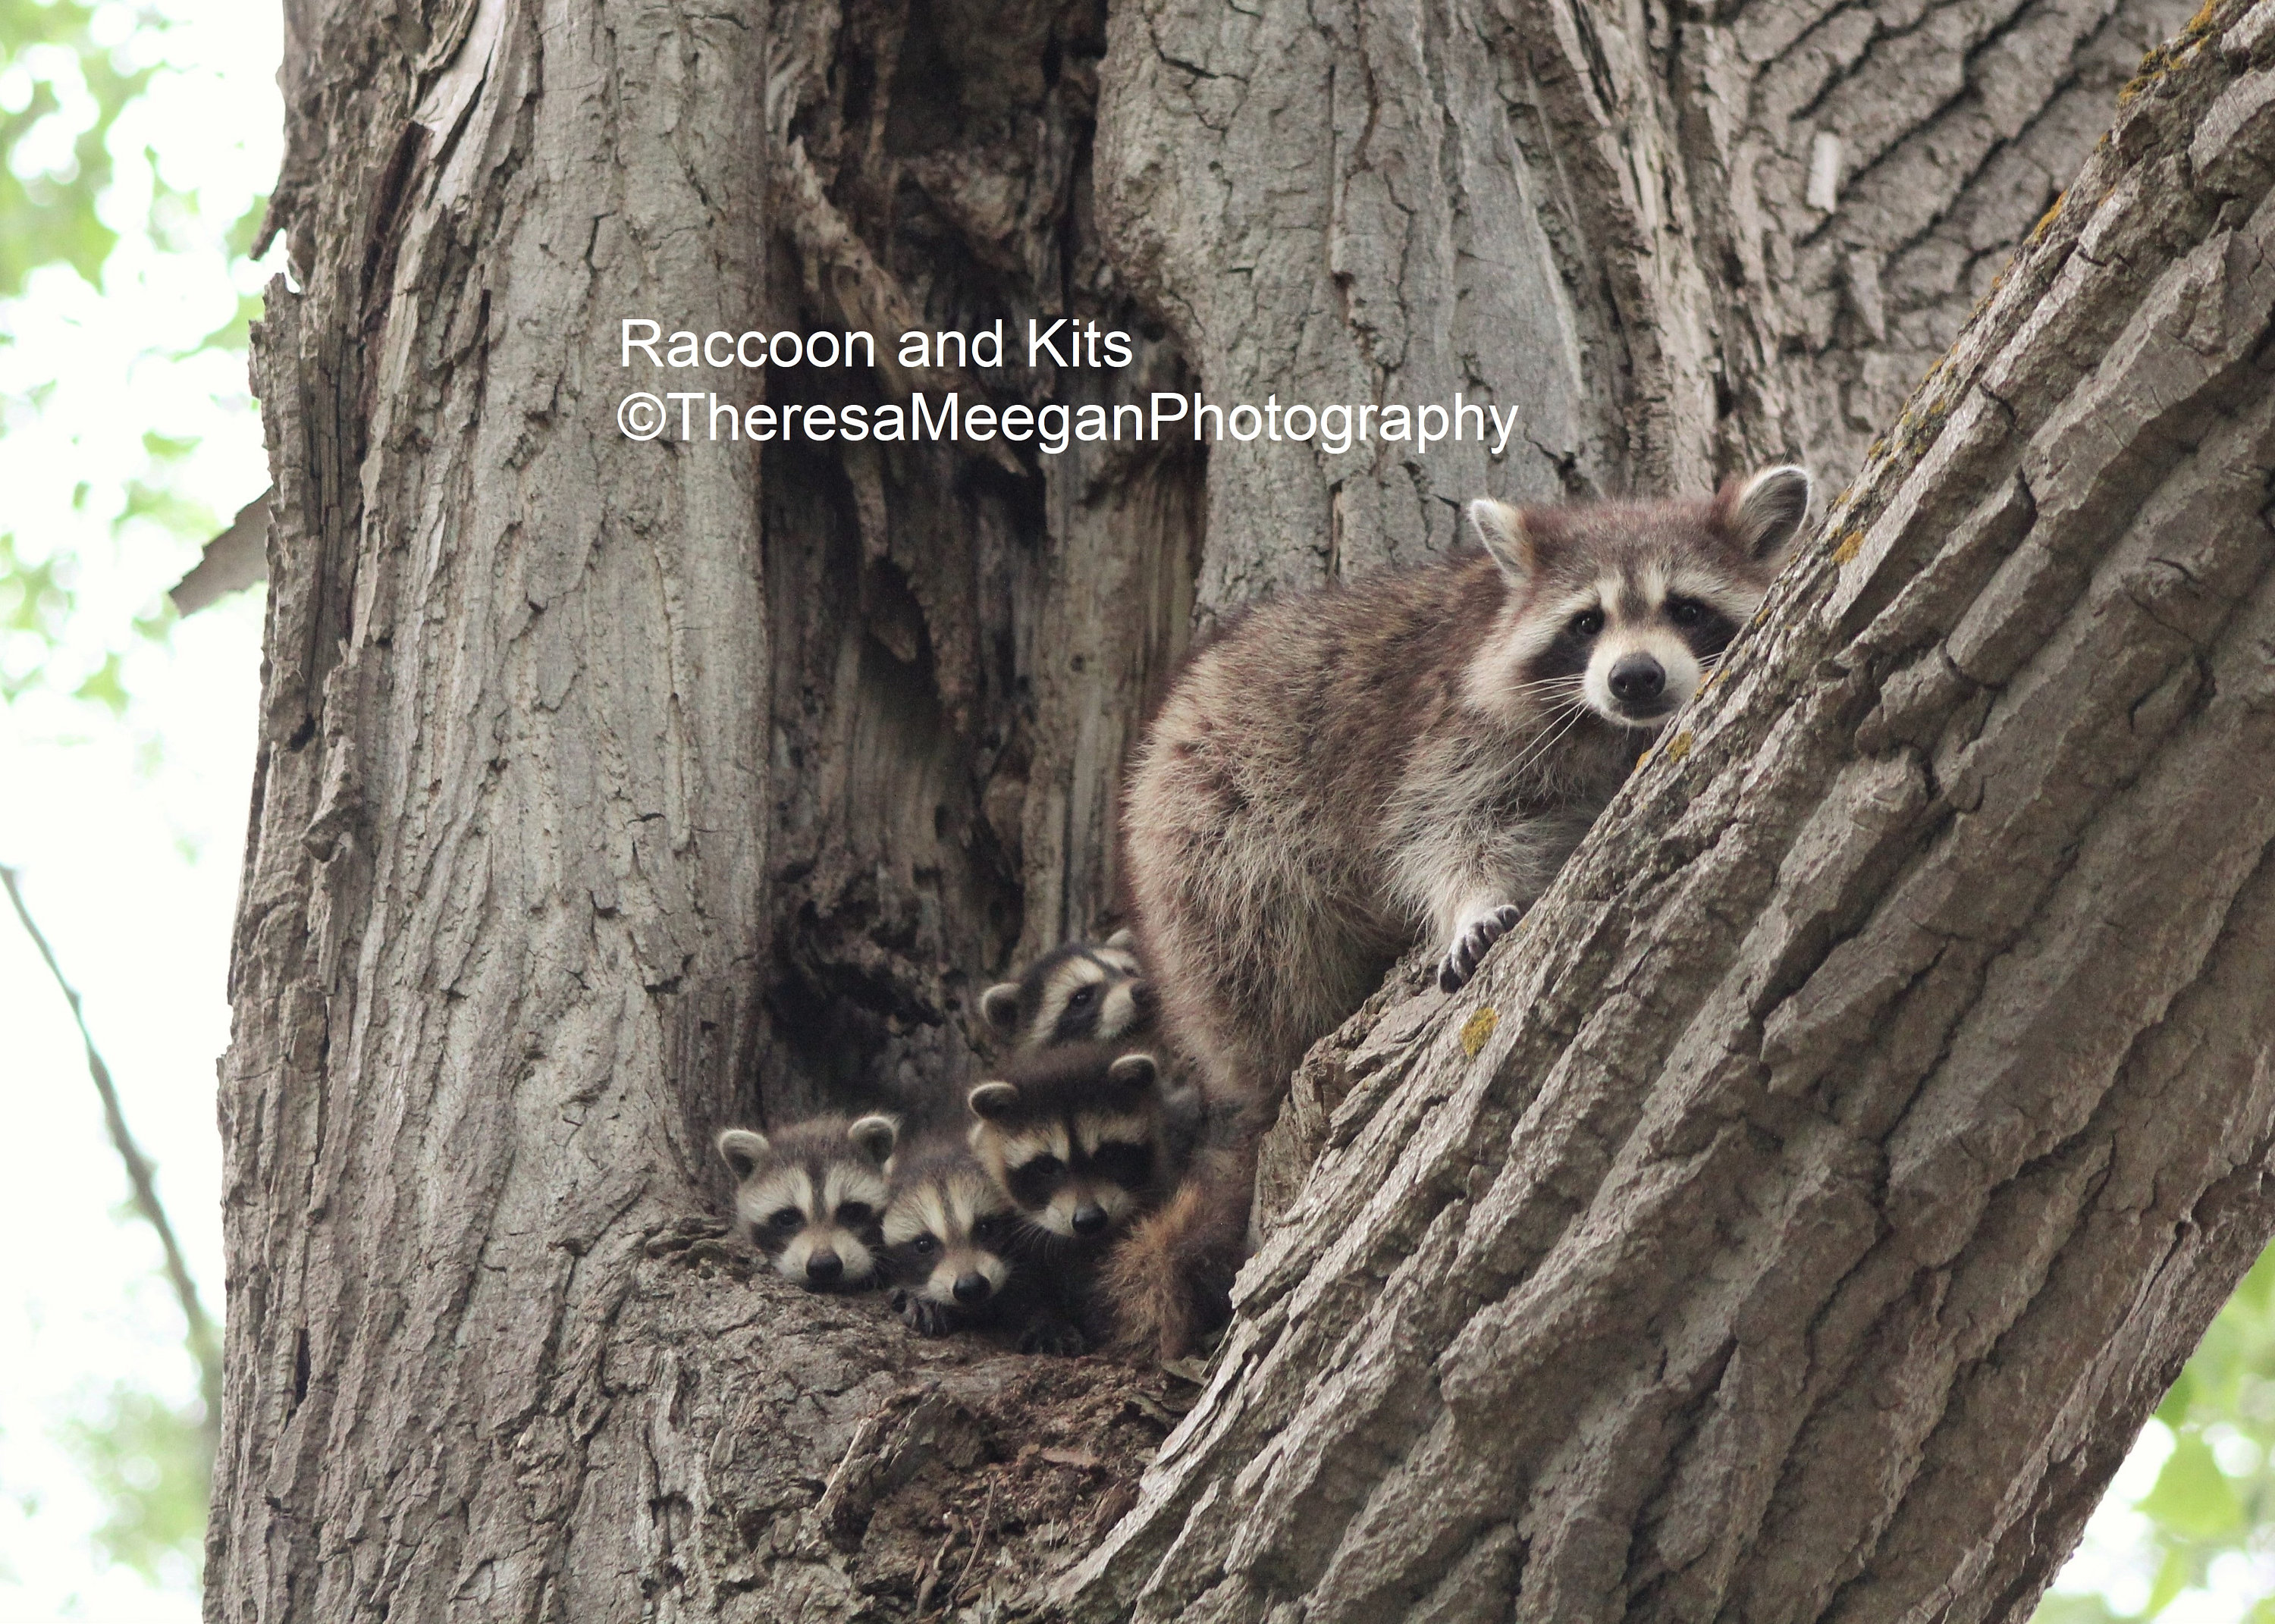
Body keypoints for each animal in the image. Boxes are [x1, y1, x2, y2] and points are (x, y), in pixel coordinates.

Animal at [1122, 467, 1810, 1119]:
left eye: (1687, 610)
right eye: (1587, 623)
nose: (1635, 677)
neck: (1621, 731)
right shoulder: (1460, 729)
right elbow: (1455, 827)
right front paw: (1474, 903)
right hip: (1209, 807)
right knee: (1256, 916)